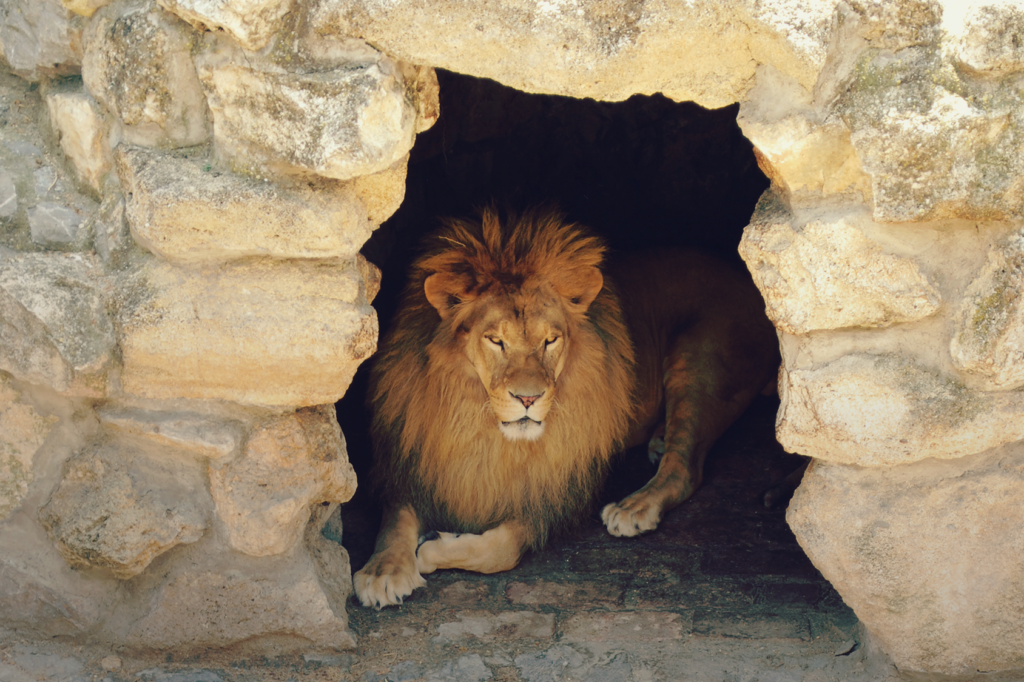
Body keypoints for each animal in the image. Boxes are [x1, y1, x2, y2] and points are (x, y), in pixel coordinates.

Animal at [353, 207, 779, 609]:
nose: (528, 399)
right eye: (496, 341)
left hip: (697, 357)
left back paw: (634, 506)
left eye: (550, 340)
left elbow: (500, 549)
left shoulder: (548, 494)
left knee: (685, 467)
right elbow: (395, 519)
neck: (483, 427)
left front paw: (431, 550)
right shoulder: (414, 462)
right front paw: (383, 571)